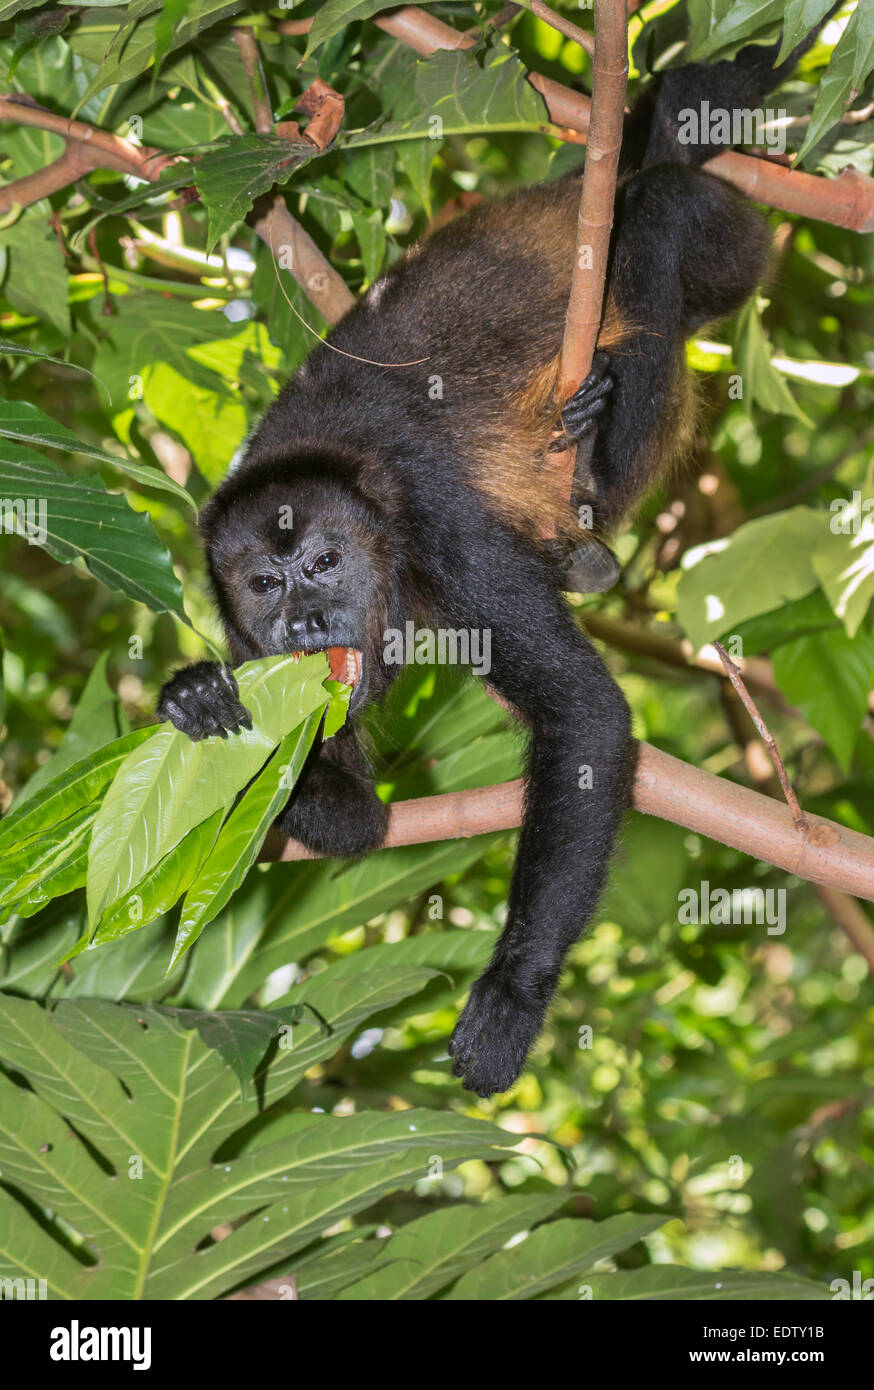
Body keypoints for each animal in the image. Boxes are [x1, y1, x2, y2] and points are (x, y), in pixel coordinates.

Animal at [159, 30, 822, 1097]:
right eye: (264, 585)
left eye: (327, 563)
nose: (306, 622)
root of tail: (574, 187)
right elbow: (360, 822)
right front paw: (193, 700)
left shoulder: (447, 531)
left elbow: (586, 719)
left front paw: (513, 992)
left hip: (732, 240)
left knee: (662, 214)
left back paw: (592, 472)